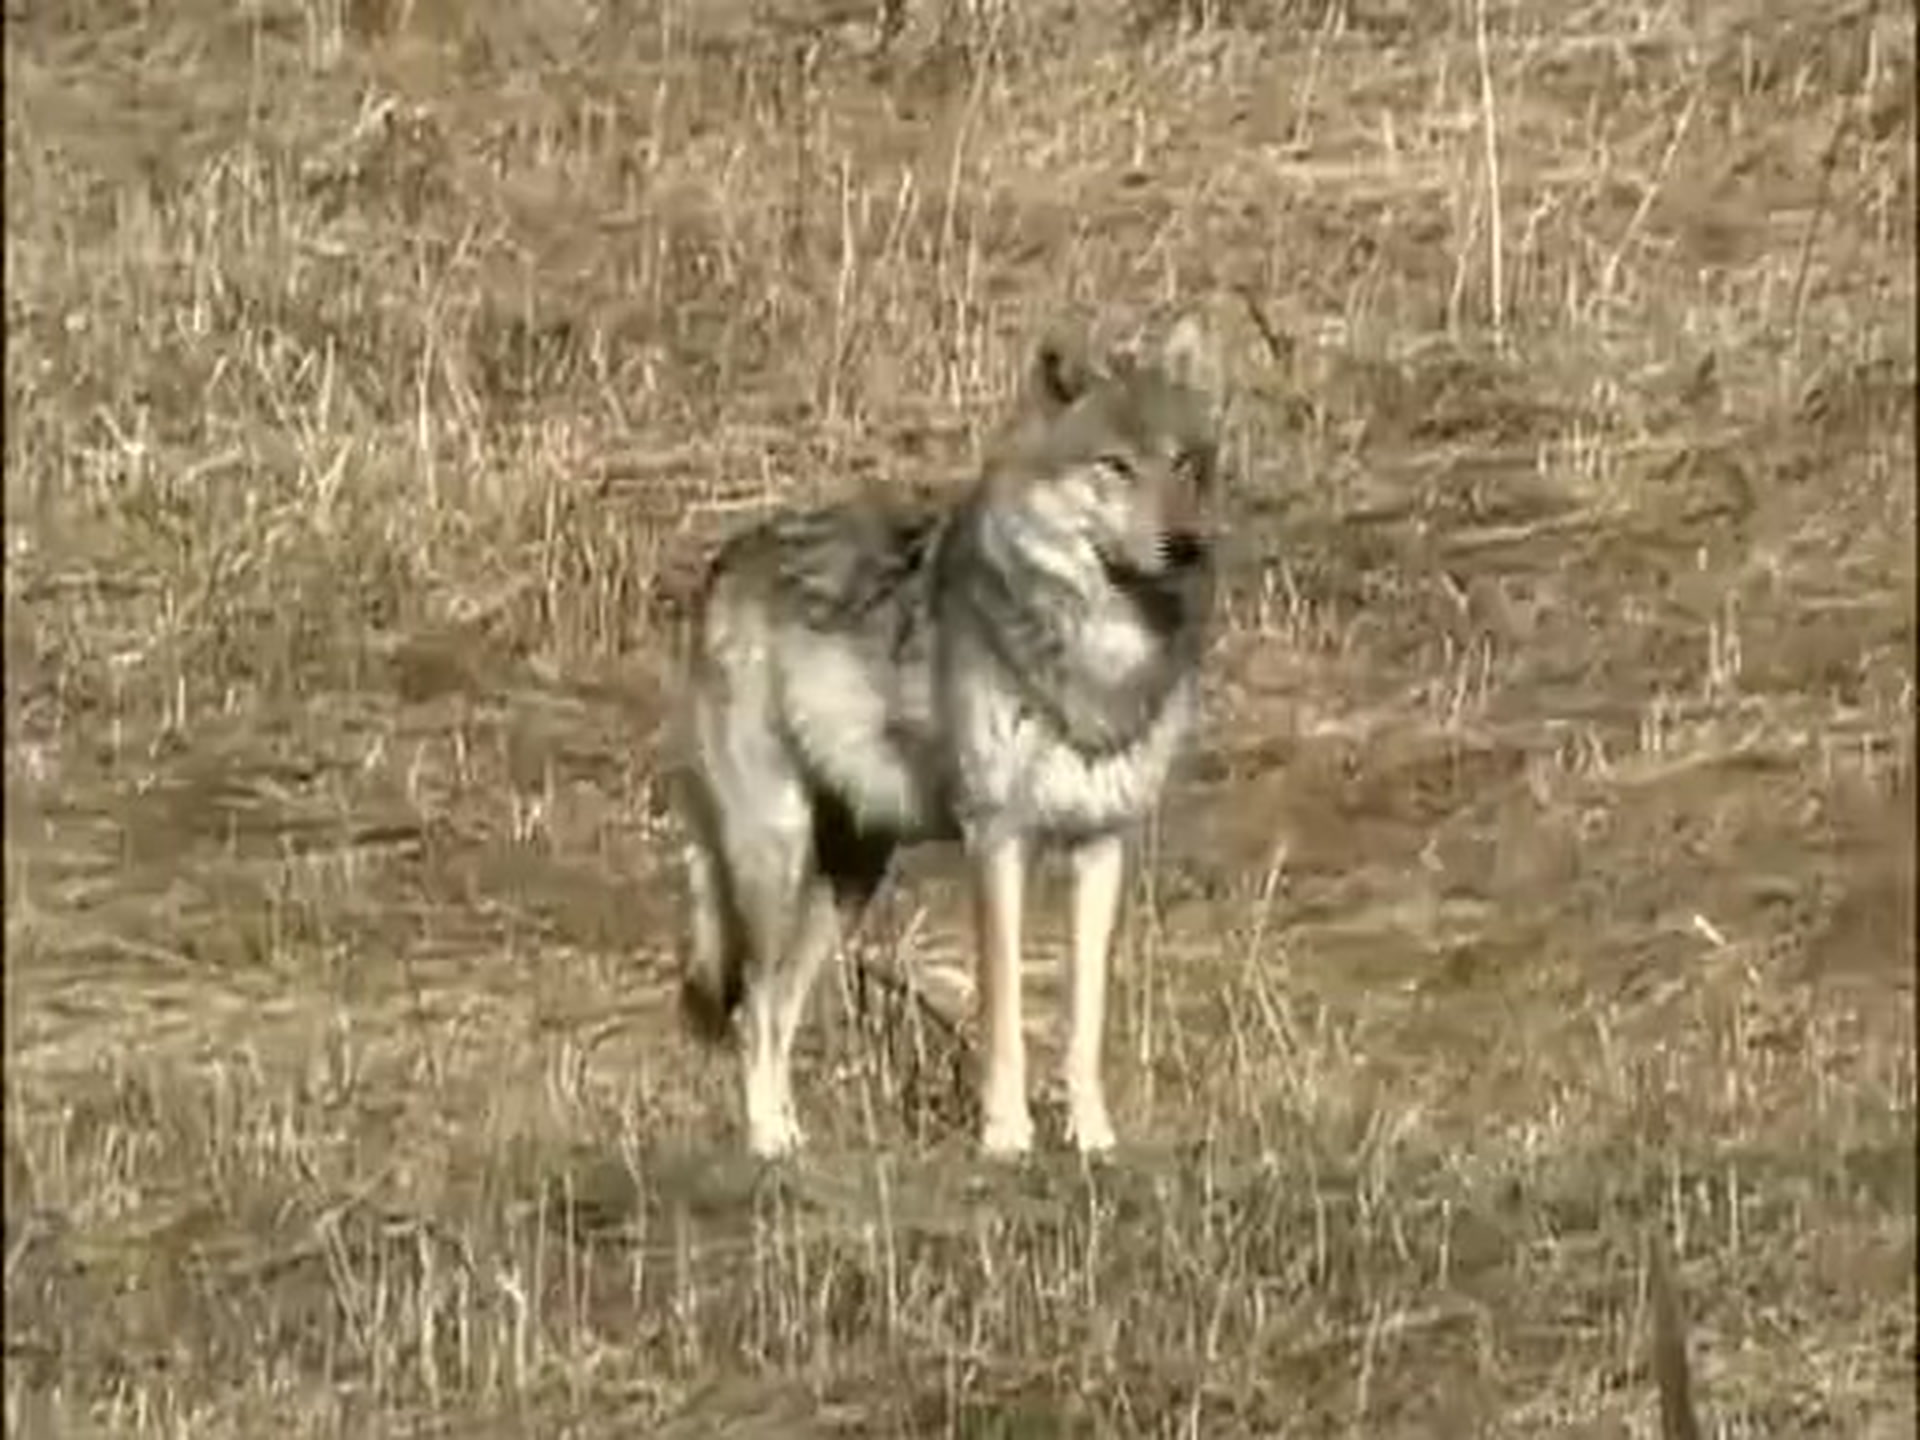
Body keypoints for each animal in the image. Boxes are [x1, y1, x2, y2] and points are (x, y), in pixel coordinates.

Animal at [674, 315, 1224, 1159]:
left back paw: (796, 1142)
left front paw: (1094, 1139)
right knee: (754, 1007)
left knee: (781, 1007)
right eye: (1117, 467)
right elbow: (1003, 1010)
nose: (1187, 544)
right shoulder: (997, 837)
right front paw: (1007, 1138)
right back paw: (766, 1141)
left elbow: (1085, 1020)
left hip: (852, 881)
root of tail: (727, 557)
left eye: (1185, 463)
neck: (1102, 657)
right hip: (773, 851)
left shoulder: (1103, 842)